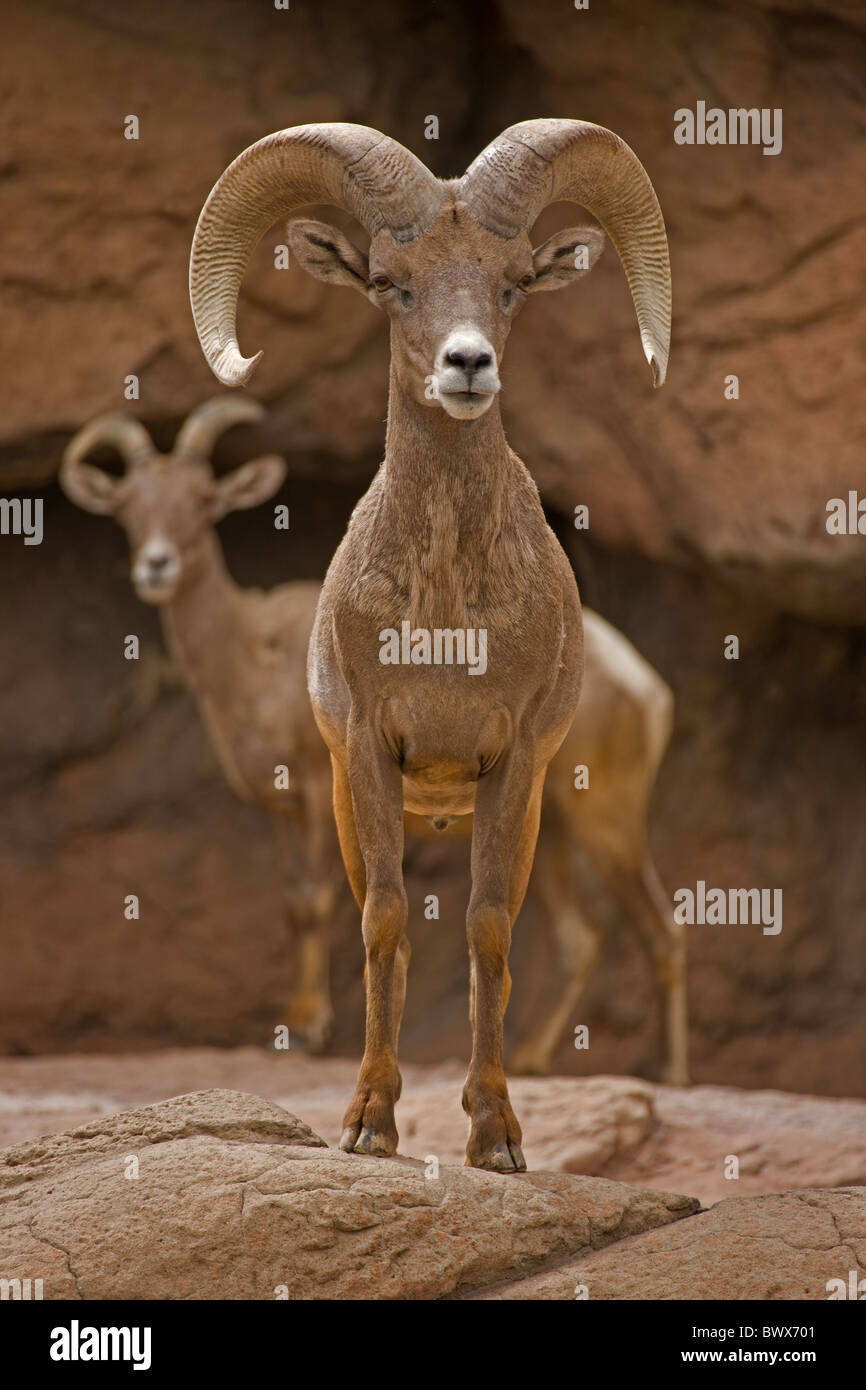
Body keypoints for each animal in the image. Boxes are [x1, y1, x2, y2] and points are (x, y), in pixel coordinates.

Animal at [59, 398, 339, 1051]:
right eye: (126, 503)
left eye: (204, 498)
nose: (156, 565)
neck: (257, 656)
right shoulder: (277, 805)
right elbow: (293, 899)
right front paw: (292, 1020)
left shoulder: (320, 787)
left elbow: (318, 894)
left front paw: (316, 1023)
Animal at [189, 119, 671, 1170]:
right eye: (390, 282)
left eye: (512, 284)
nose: (467, 364)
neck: (447, 624)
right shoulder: (366, 755)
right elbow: (384, 922)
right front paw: (368, 1125)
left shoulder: (517, 765)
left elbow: (489, 930)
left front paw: (496, 1137)